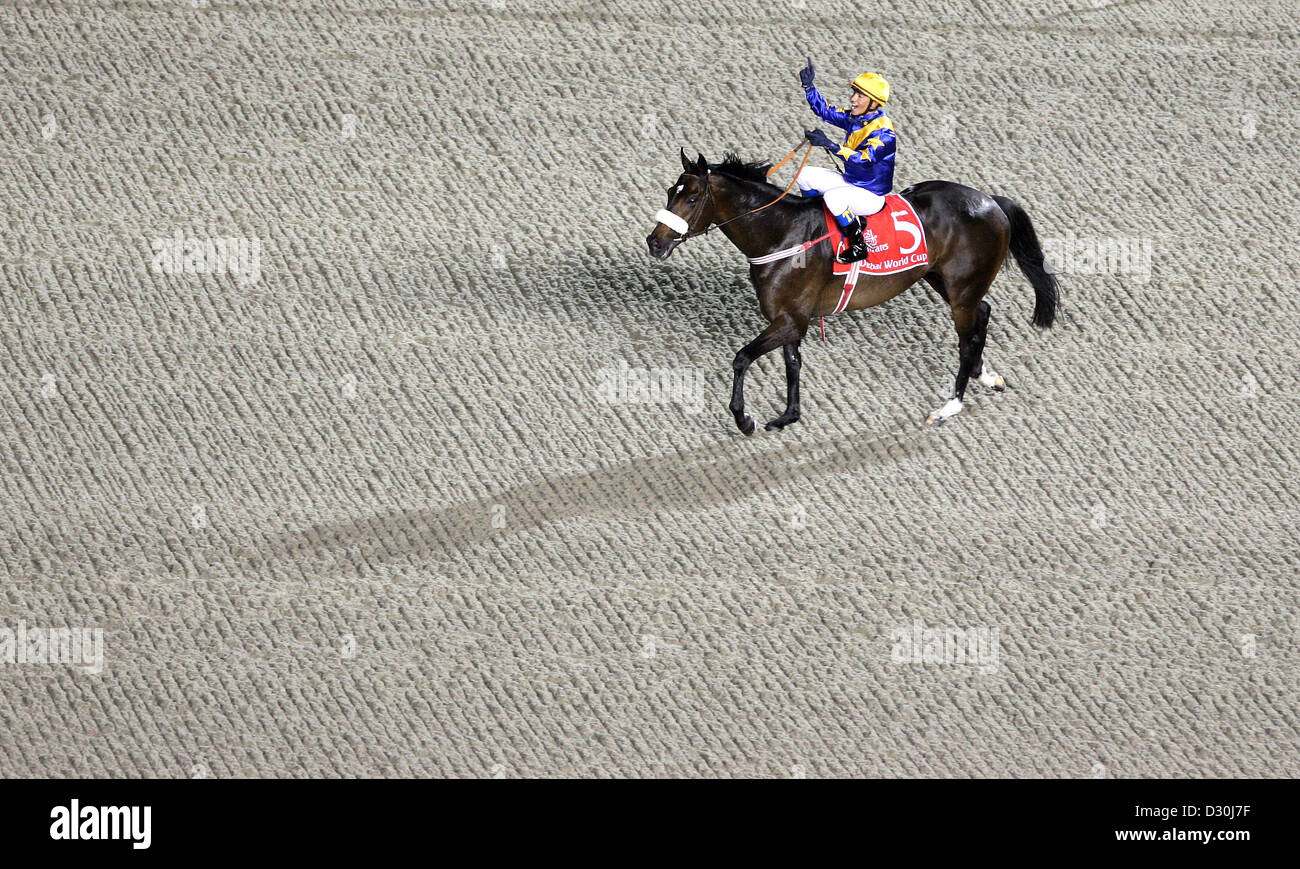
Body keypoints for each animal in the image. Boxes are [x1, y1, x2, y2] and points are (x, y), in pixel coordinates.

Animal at [646, 148, 1058, 433]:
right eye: (669, 191)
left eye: (692, 198)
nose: (655, 242)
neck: (783, 233)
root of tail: (992, 201)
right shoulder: (791, 318)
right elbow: (792, 364)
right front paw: (788, 416)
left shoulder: (789, 320)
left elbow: (741, 358)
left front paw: (744, 418)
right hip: (940, 279)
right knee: (981, 317)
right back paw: (984, 376)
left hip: (962, 288)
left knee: (966, 337)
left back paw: (949, 406)